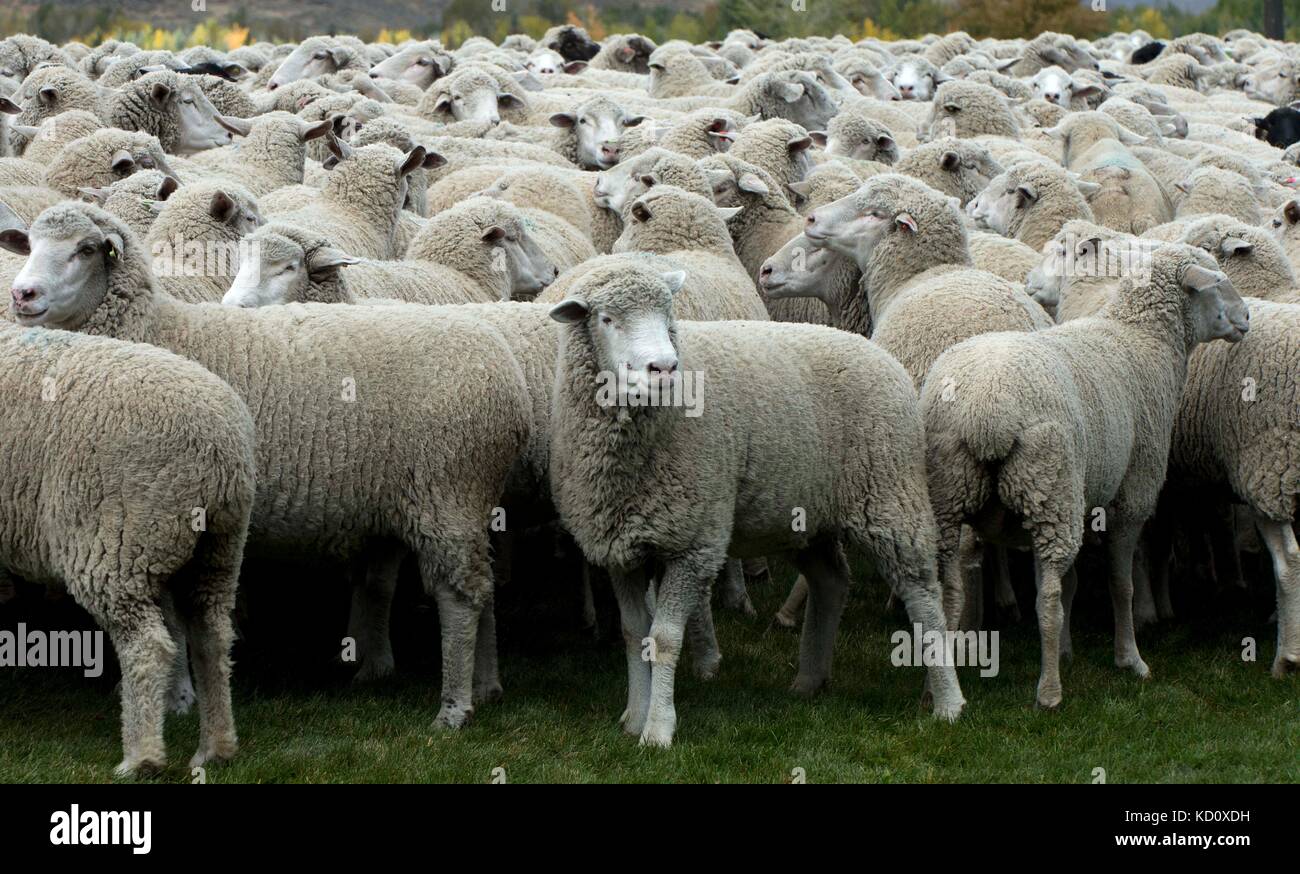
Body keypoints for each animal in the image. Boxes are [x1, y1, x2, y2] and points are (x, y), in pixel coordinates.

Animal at [0, 322, 256, 775]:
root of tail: (219, 449)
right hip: (218, 549)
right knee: (212, 636)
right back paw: (216, 748)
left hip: (116, 543)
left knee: (147, 646)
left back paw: (142, 758)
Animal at [4, 201, 534, 727]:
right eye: (29, 244)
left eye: (86, 249)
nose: (22, 294)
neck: (155, 329)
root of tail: (502, 365)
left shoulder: (149, 513)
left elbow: (171, 620)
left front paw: (177, 697)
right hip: (463, 499)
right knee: (482, 586)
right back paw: (487, 685)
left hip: (448, 490)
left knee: (461, 596)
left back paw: (454, 707)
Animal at [546, 262, 964, 746]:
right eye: (606, 318)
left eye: (668, 314)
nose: (664, 368)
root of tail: (875, 349)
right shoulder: (621, 548)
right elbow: (636, 636)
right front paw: (633, 715)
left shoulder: (694, 543)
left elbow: (665, 638)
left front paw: (658, 728)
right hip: (804, 514)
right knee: (831, 581)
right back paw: (809, 680)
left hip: (889, 495)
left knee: (923, 594)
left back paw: (948, 701)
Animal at [920, 244, 1249, 707]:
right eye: (1217, 284)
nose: (1247, 318)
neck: (1142, 338)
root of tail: (985, 412)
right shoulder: (1131, 494)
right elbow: (1119, 583)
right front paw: (1130, 658)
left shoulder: (1081, 494)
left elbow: (1074, 582)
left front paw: (1067, 650)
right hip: (1049, 488)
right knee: (1046, 601)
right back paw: (1049, 692)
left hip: (959, 492)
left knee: (950, 593)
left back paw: (939, 692)